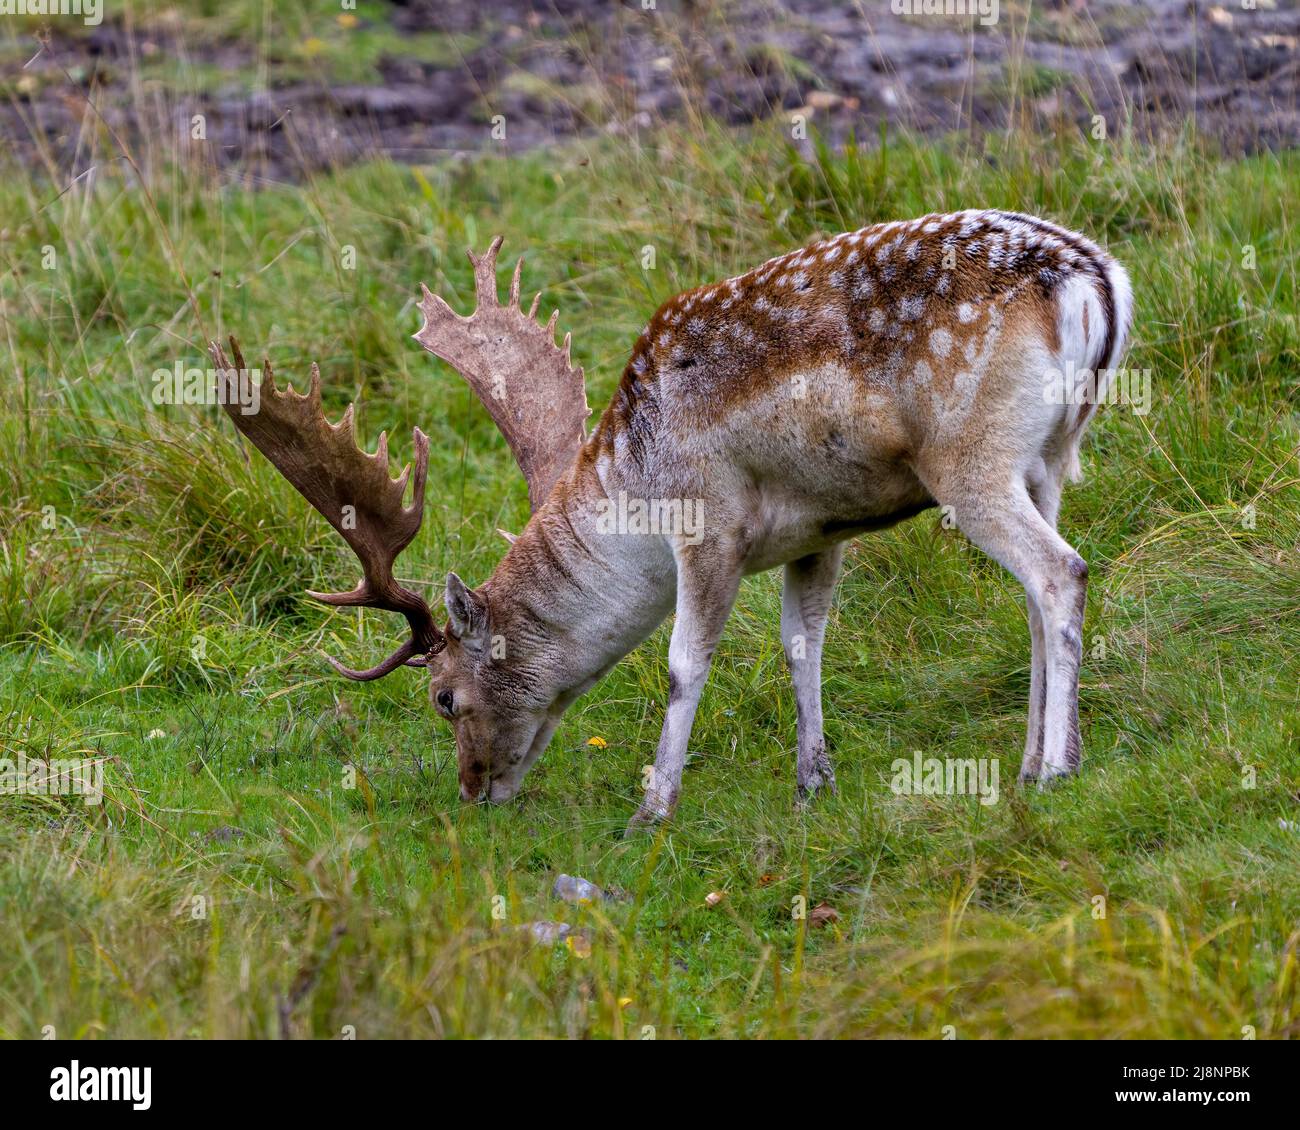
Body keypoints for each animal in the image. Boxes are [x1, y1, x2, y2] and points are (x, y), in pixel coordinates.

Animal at [211, 208, 1132, 830]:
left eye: (442, 697)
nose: (473, 791)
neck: (636, 492)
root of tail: (1096, 284)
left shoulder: (709, 524)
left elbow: (686, 663)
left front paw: (652, 807)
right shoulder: (821, 530)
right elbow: (804, 644)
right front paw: (813, 782)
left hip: (970, 460)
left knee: (1061, 571)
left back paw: (1056, 770)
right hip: (1049, 458)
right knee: (1038, 589)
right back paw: (1029, 761)